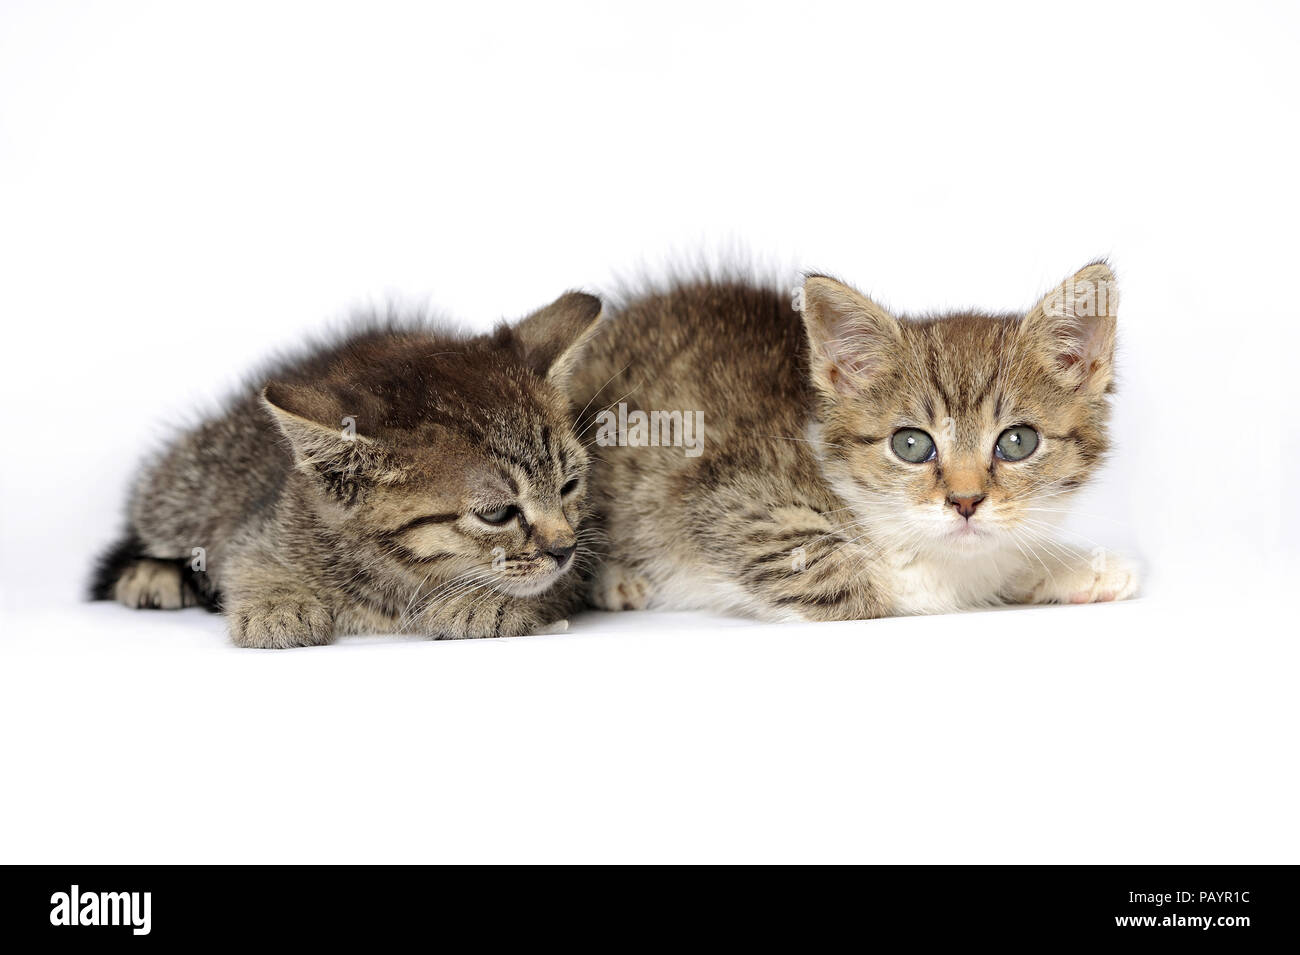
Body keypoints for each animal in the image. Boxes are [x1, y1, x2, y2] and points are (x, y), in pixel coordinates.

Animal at [91, 291, 603, 649]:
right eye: (496, 514)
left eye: (569, 486)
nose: (564, 549)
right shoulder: (259, 528)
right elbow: (247, 562)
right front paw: (278, 603)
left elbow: (563, 581)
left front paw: (482, 601)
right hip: (191, 484)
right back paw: (152, 574)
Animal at [577, 263, 1138, 621]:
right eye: (911, 445)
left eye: (1017, 442)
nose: (965, 501)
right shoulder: (731, 498)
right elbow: (867, 585)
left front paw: (1079, 565)